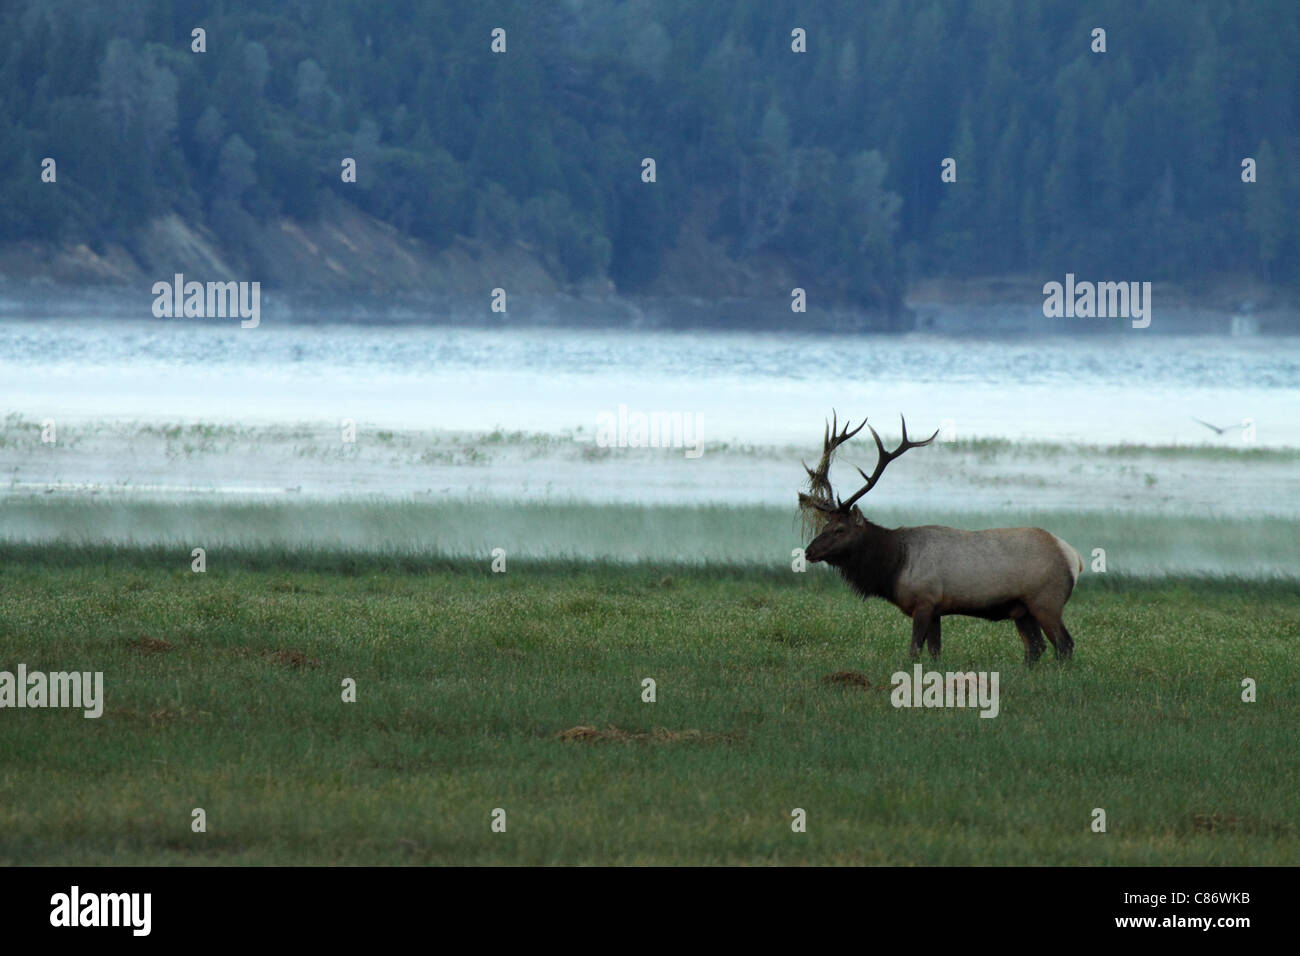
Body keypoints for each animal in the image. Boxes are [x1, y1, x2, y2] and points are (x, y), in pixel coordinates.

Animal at [798, 413, 1082, 664]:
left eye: (840, 529)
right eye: (825, 524)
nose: (809, 551)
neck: (894, 565)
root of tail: (1073, 557)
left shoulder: (924, 600)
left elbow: (914, 650)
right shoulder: (936, 609)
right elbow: (935, 651)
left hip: (1046, 601)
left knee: (1064, 644)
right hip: (1022, 609)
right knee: (1035, 647)